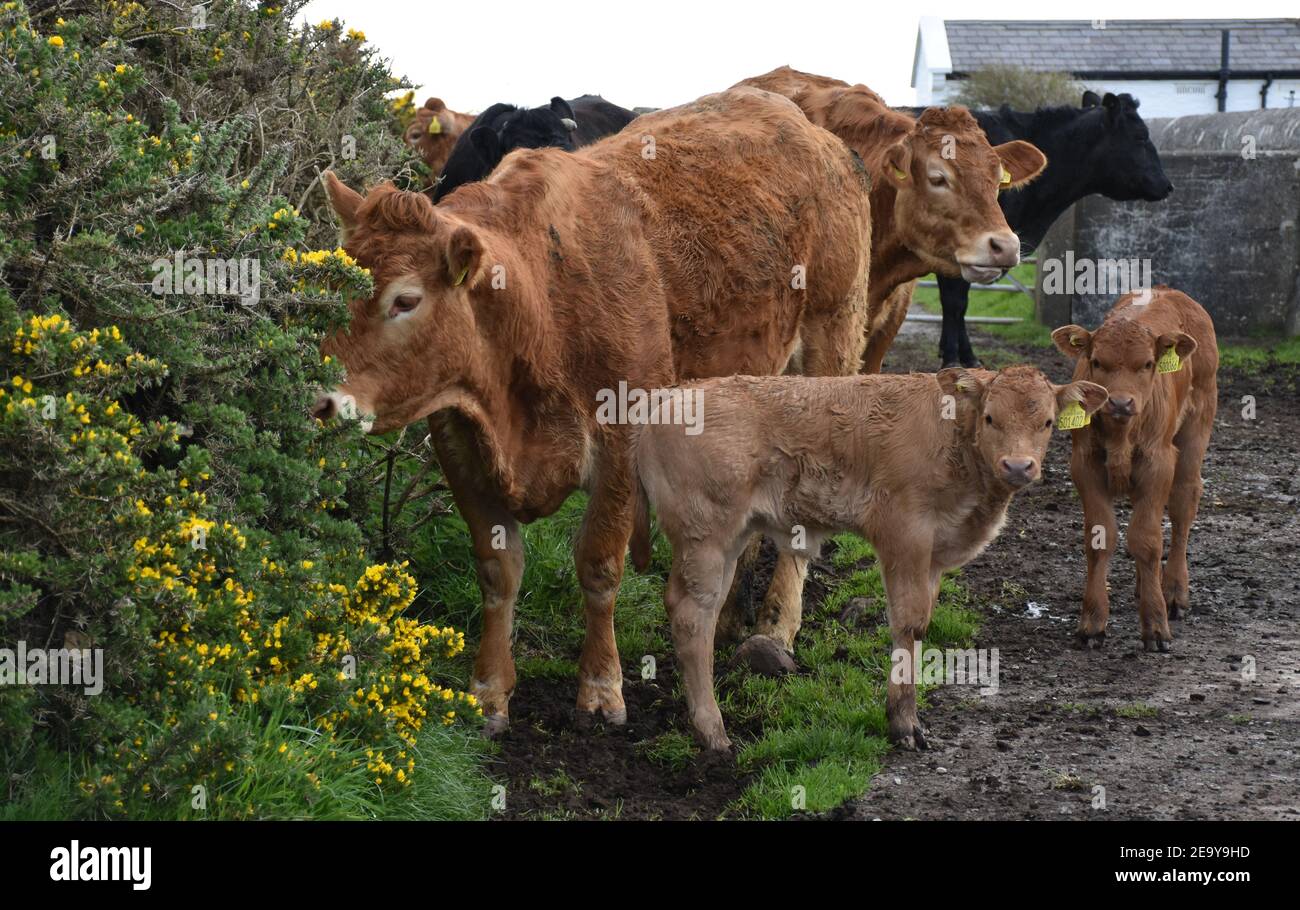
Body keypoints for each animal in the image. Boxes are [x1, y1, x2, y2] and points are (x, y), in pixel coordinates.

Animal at [635, 366, 1108, 750]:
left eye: (1047, 422)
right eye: (991, 417)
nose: (1017, 465)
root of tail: (675, 392)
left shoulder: (933, 554)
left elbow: (923, 624)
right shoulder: (905, 533)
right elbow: (909, 622)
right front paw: (903, 724)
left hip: (728, 538)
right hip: (706, 535)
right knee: (692, 615)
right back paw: (712, 732)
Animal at [1051, 287, 1217, 652]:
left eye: (1148, 364)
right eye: (1097, 362)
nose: (1120, 402)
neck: (1121, 435)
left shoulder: (1158, 462)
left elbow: (1147, 540)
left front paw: (1155, 624)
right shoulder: (1085, 465)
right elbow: (1101, 538)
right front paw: (1093, 622)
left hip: (1196, 429)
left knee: (1182, 504)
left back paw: (1173, 591)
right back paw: (1146, 585)